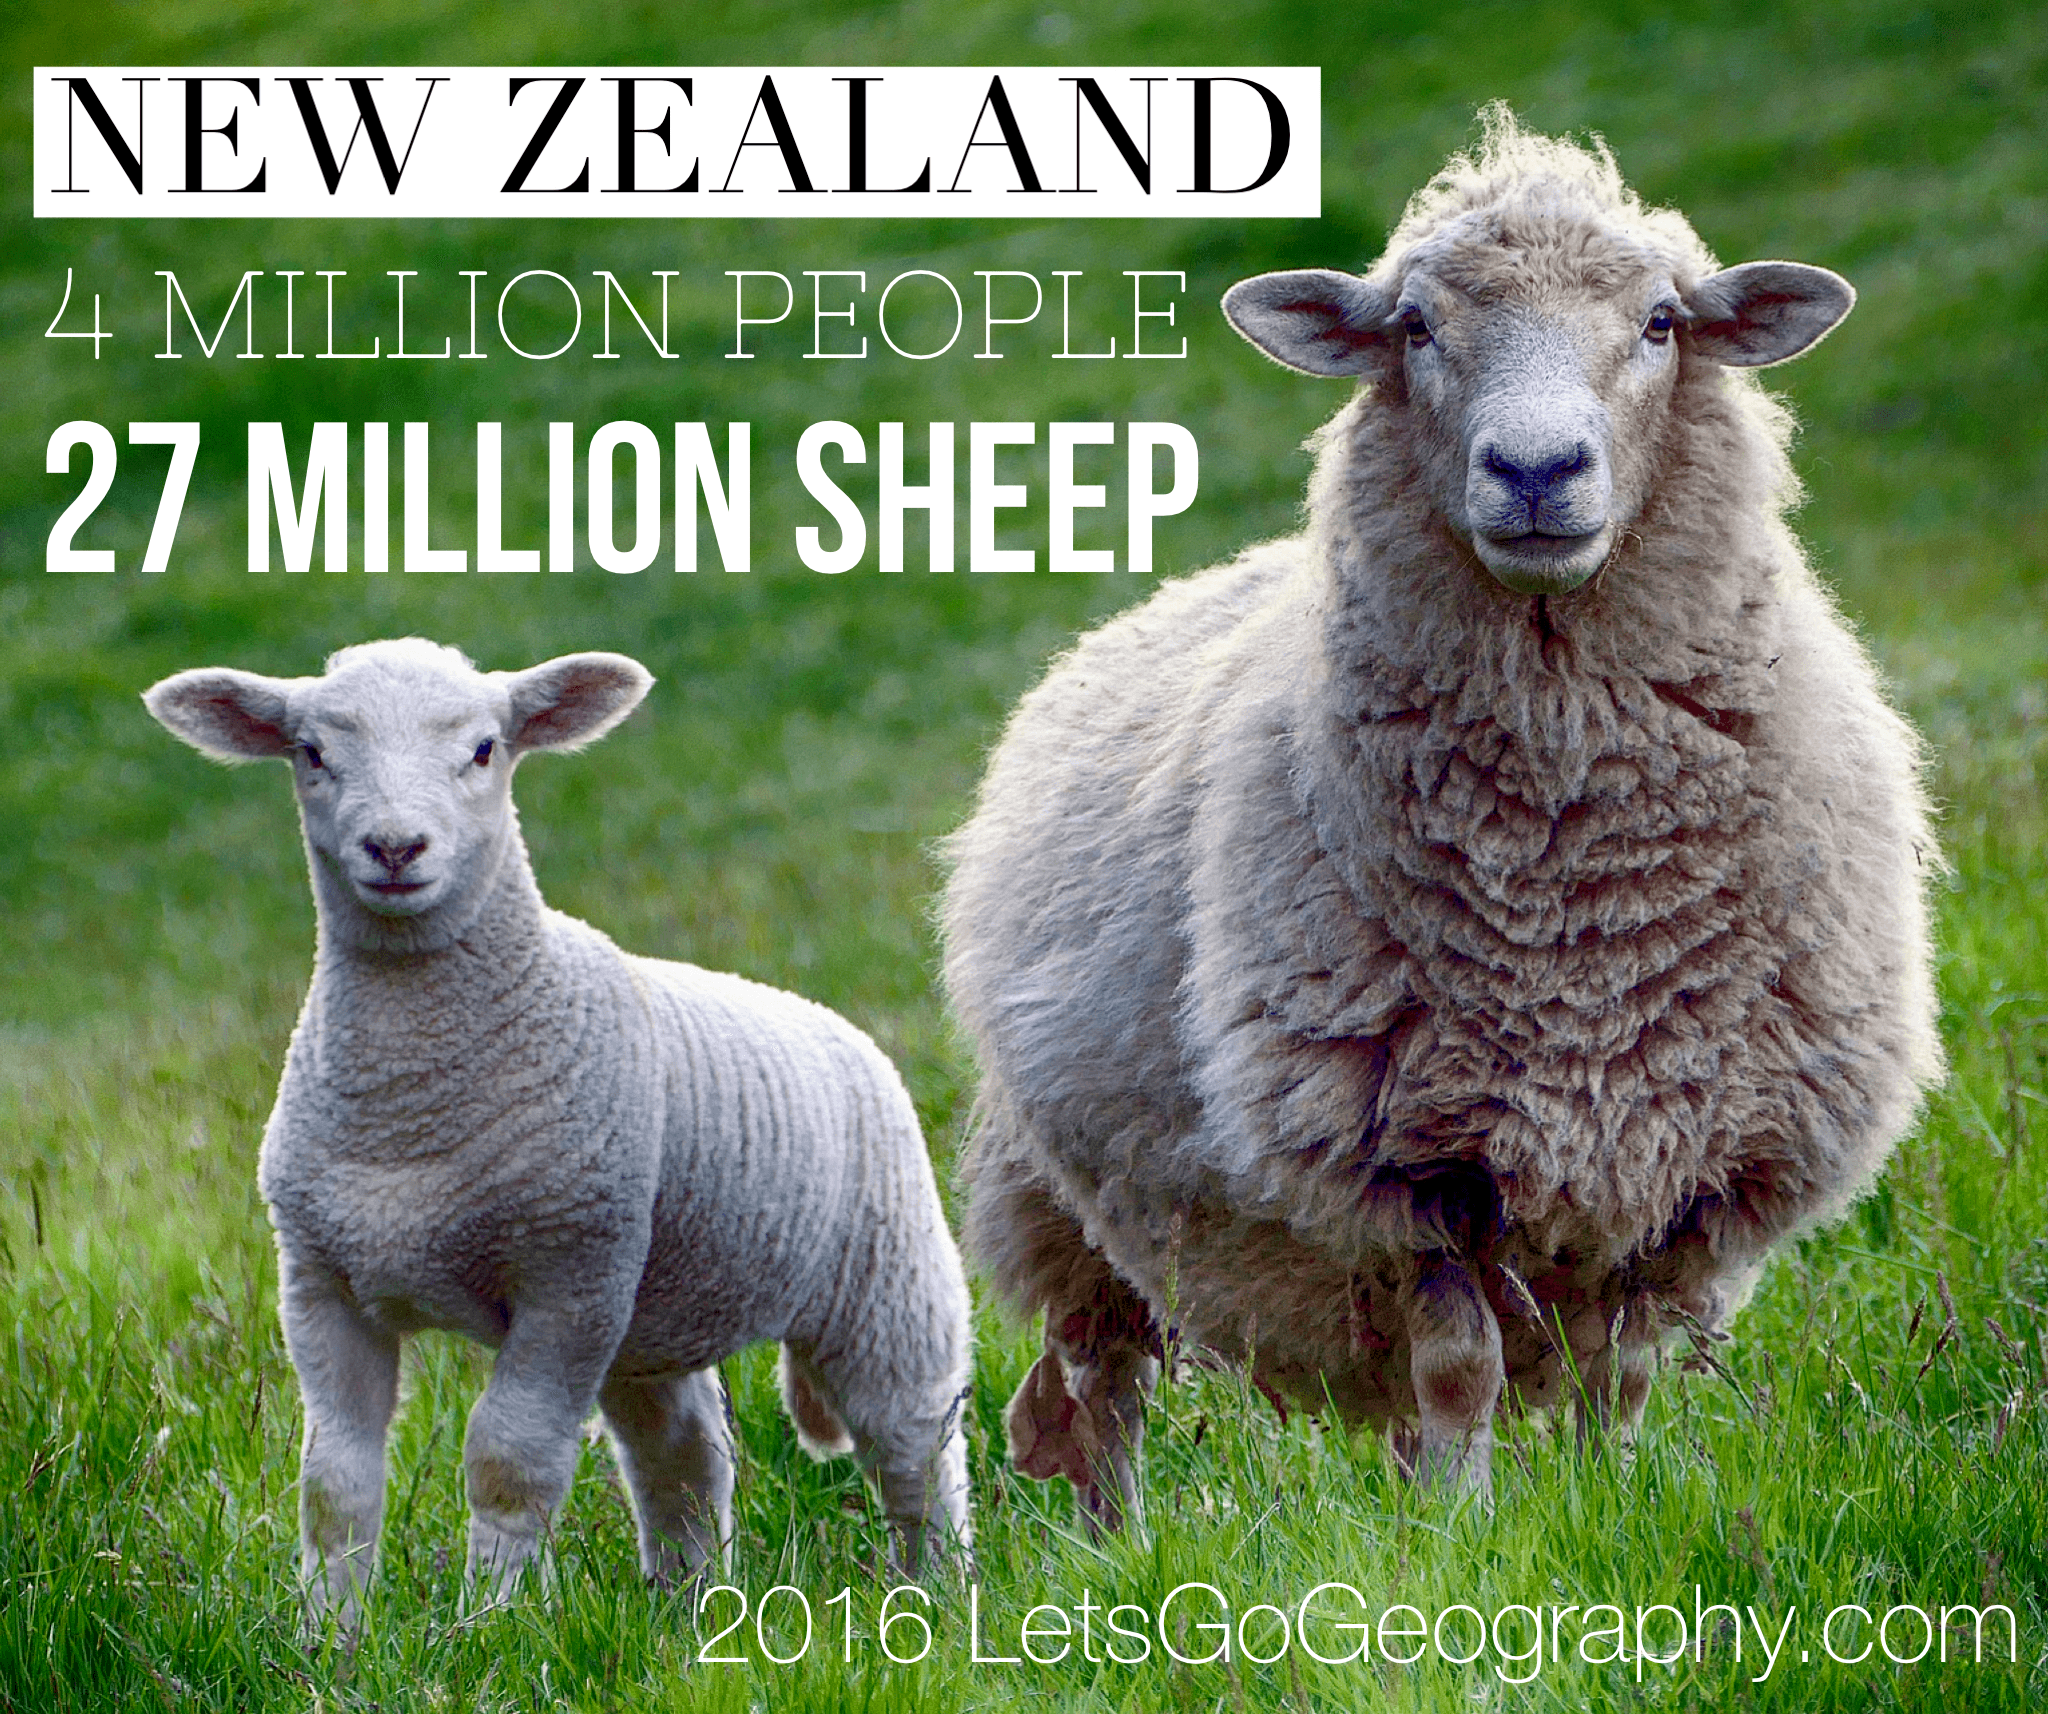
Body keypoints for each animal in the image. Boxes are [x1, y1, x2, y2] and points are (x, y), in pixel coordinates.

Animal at [143, 638, 972, 1629]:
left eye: (484, 750)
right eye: (310, 753)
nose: (395, 848)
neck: (408, 1108)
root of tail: (837, 1027)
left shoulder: (566, 1276)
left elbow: (510, 1461)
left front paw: (486, 1623)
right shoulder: (321, 1283)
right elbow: (333, 1482)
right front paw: (327, 1634)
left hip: (884, 1276)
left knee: (914, 1441)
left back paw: (935, 1594)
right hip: (650, 1314)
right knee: (684, 1457)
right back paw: (689, 1604)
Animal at [940, 109, 1942, 1530]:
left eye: (1659, 322)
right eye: (1415, 326)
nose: (1533, 468)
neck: (1573, 894)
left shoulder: (1686, 1161)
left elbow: (1620, 1377)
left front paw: (1601, 1511)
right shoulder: (1403, 1167)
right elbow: (1460, 1366)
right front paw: (1461, 1537)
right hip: (1059, 1195)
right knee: (1099, 1381)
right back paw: (1114, 1545)